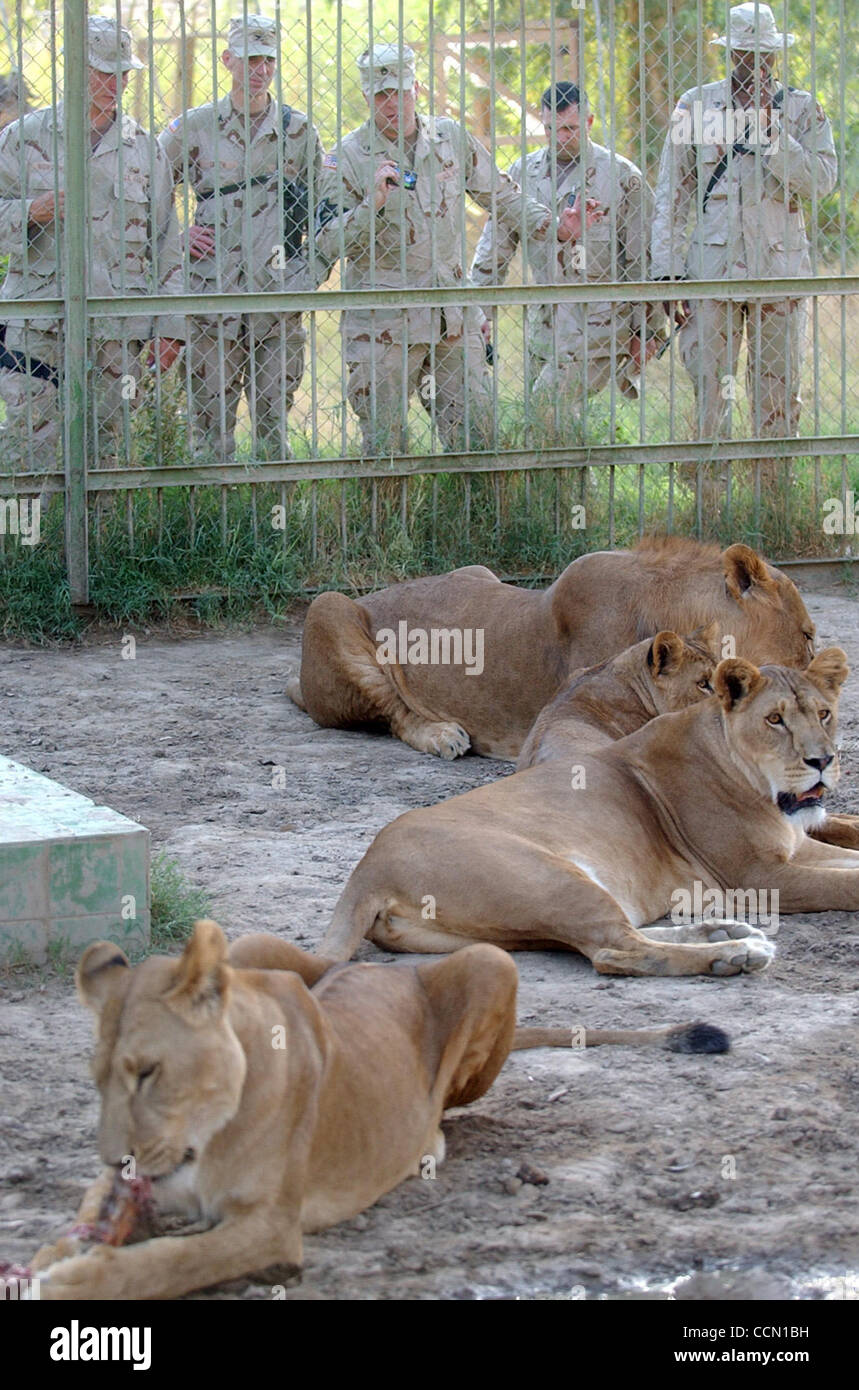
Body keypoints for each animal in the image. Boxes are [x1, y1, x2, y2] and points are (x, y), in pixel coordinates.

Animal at [27, 922, 727, 1300]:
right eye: (97, 1080)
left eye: (149, 1073)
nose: (117, 1156)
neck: (203, 1133)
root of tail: (387, 969)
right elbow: (89, 1211)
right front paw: (50, 1257)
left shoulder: (271, 1227)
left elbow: (170, 1261)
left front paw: (73, 1282)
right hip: (255, 947)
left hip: (492, 961)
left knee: (443, 1105)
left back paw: (425, 1145)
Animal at [320, 648, 858, 978]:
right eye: (774, 720)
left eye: (824, 714)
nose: (822, 761)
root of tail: (369, 867)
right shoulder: (757, 874)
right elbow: (844, 884)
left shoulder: (797, 847)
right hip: (553, 880)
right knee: (616, 950)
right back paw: (735, 953)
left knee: (622, 933)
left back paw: (723, 932)